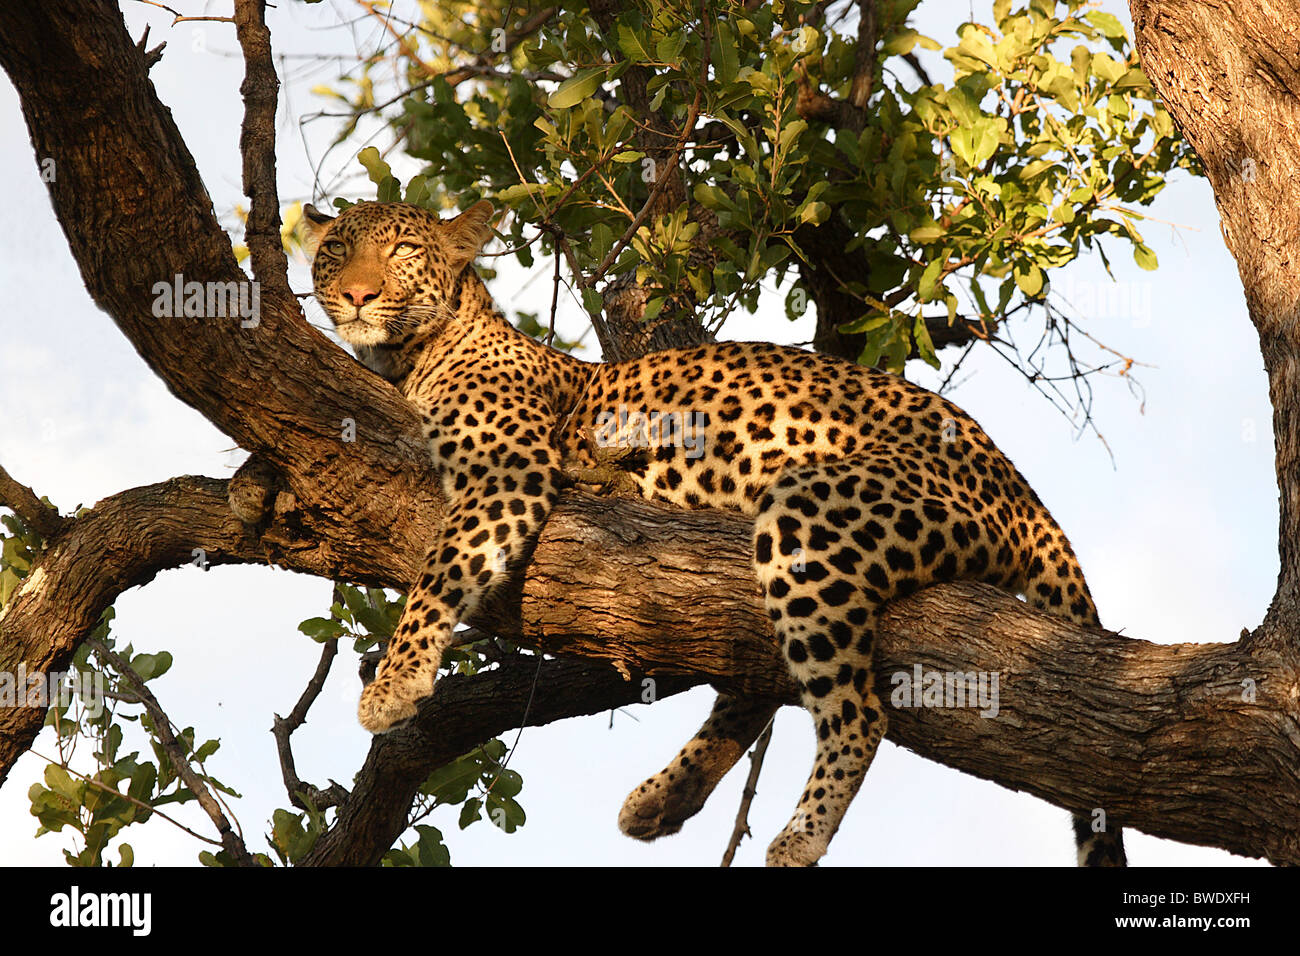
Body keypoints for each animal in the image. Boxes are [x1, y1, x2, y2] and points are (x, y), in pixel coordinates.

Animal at [302, 198, 1127, 867]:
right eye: (337, 248)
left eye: (403, 250)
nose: (357, 295)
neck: (409, 357)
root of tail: (1024, 490)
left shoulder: (504, 469)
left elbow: (441, 569)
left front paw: (395, 683)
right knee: (761, 683)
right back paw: (663, 798)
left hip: (812, 513)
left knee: (857, 713)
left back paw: (798, 837)